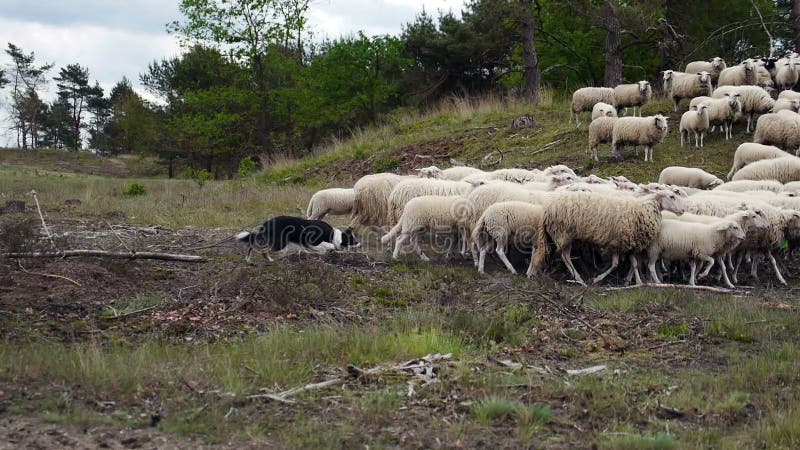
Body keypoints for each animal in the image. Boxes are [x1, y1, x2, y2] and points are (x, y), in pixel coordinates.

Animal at [532, 190, 687, 285]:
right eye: (672, 196)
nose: (683, 210)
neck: (643, 208)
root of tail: (547, 209)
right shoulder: (617, 243)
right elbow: (616, 265)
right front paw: (596, 279)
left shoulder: (628, 244)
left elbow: (631, 264)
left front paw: (636, 282)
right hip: (563, 233)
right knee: (565, 256)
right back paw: (579, 279)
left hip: (558, 235)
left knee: (549, 253)